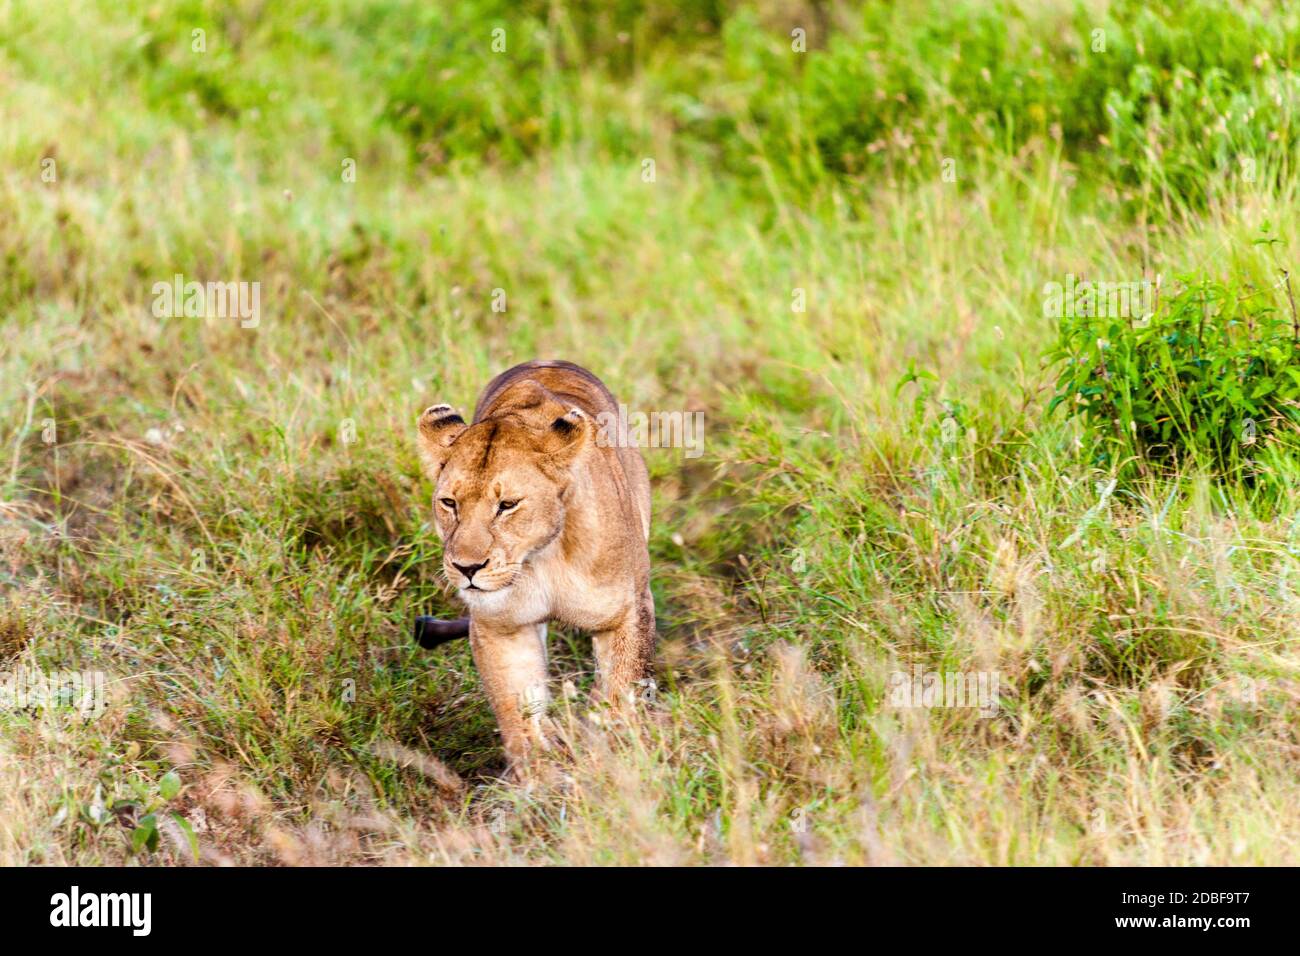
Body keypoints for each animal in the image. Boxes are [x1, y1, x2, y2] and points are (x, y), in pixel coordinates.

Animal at [414, 360, 655, 770]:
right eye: (449, 503)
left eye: (508, 505)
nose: (467, 568)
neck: (539, 558)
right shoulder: (500, 627)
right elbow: (519, 713)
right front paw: (539, 775)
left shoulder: (628, 612)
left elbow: (621, 694)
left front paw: (618, 760)